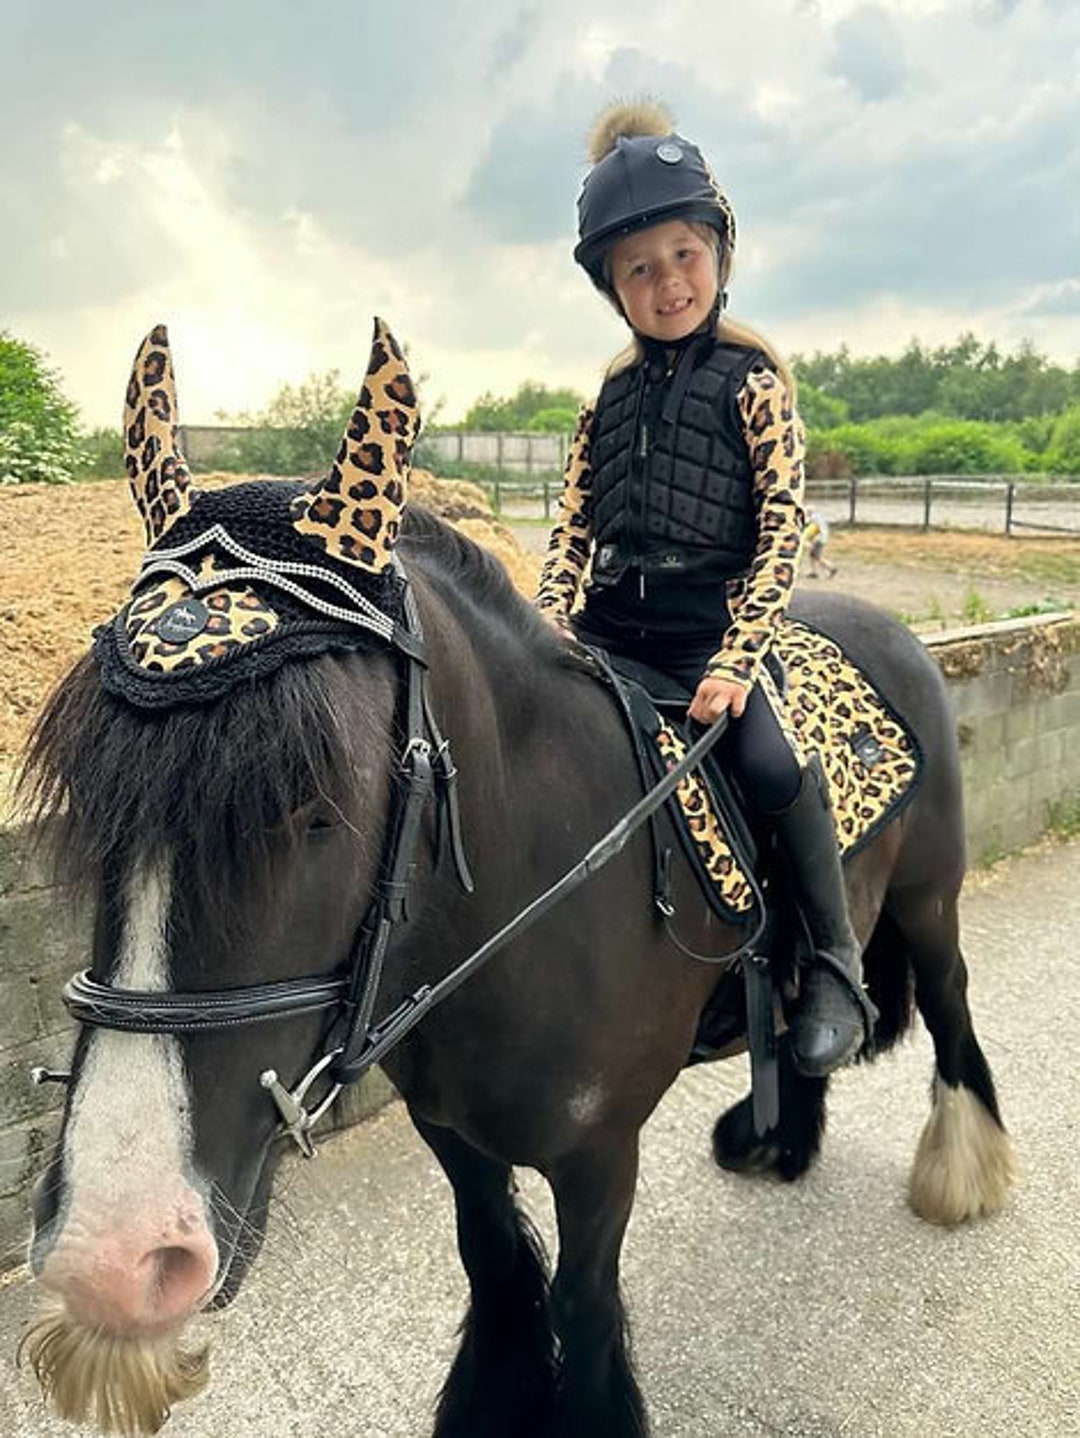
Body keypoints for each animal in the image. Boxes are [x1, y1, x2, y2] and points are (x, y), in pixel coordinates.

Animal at [17, 320, 1015, 1438]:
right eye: (91, 798)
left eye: (317, 806)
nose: (110, 1259)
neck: (528, 910)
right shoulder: (451, 1130)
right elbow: (493, 1264)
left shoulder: (600, 1153)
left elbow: (582, 1301)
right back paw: (786, 1134)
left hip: (929, 899)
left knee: (948, 1001)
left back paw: (963, 1170)